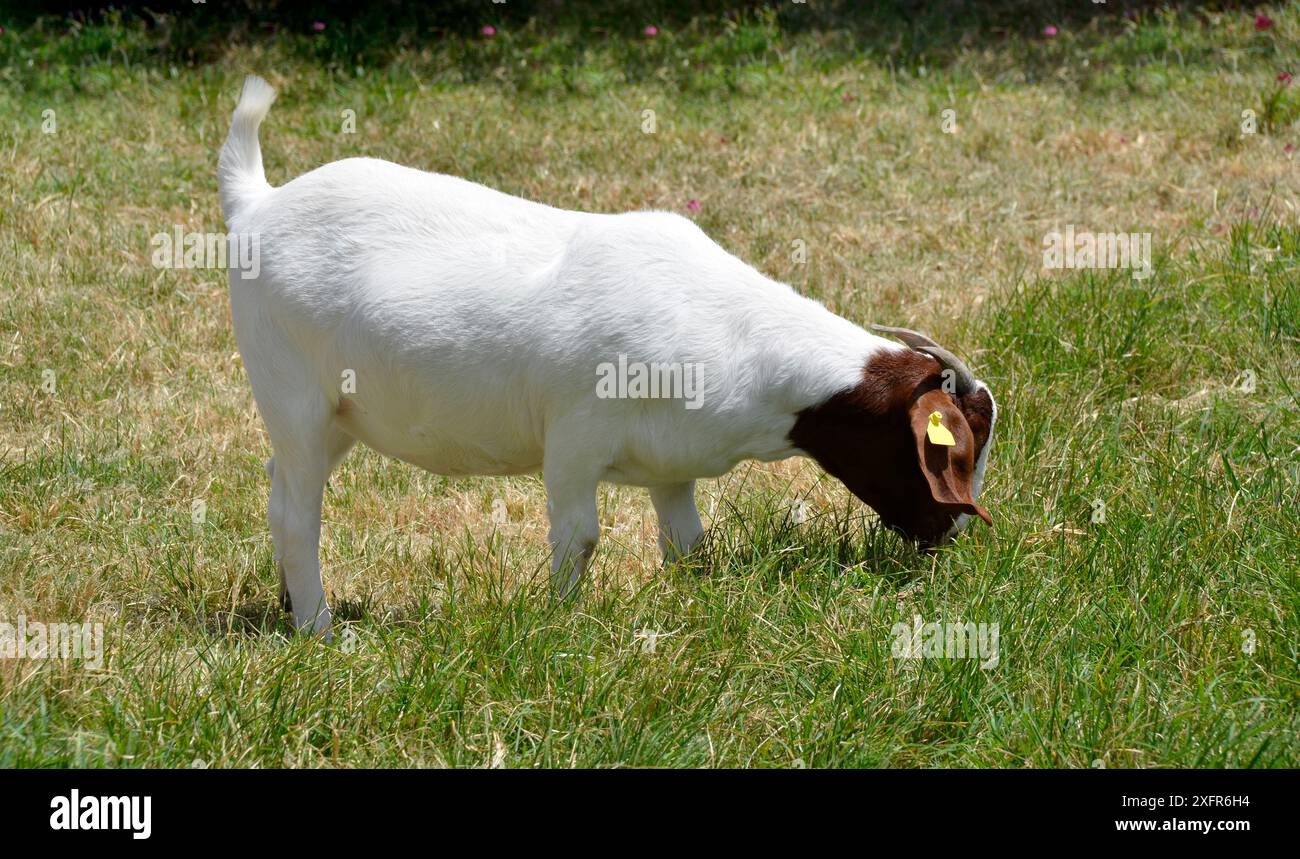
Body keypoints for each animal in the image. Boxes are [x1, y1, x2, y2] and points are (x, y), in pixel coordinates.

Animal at [218, 76, 996, 634]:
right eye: (949, 450)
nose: (952, 532)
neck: (735, 337)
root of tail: (257, 204)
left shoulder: (673, 464)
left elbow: (689, 544)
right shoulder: (574, 437)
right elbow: (580, 538)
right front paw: (563, 625)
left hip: (340, 415)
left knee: (279, 485)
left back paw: (290, 601)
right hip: (291, 392)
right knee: (298, 511)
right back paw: (320, 628)